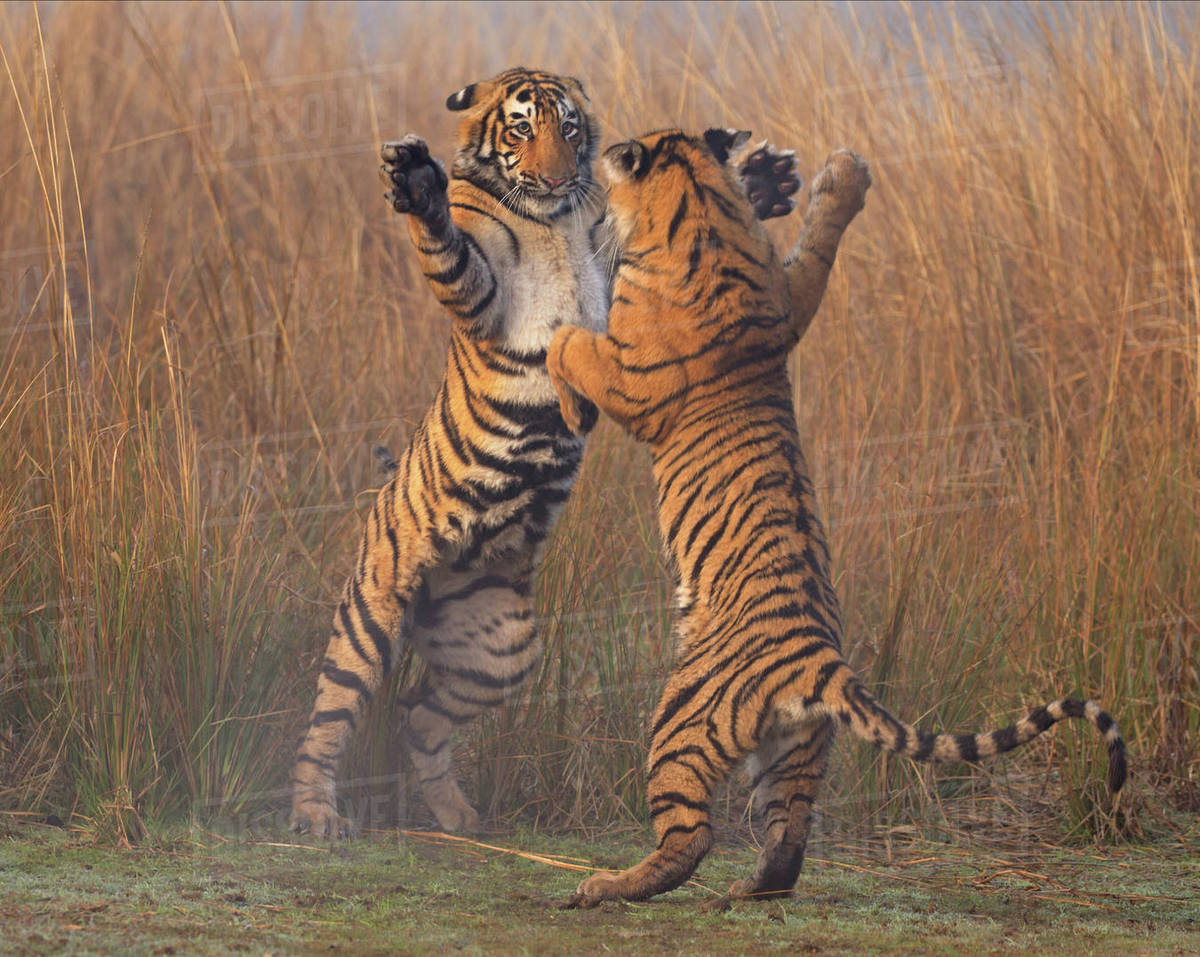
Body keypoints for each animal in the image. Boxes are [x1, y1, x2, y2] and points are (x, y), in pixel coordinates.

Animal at [289, 68, 805, 839]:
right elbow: (447, 249)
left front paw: (765, 179)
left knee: (416, 717)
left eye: (568, 127)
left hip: (499, 648)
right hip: (372, 611)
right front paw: (416, 180)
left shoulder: (611, 279)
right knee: (326, 719)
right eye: (520, 127)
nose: (560, 177)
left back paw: (459, 817)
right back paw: (314, 813)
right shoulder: (485, 299)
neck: (552, 220)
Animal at [545, 129, 1127, 905]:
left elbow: (569, 345)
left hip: (681, 720)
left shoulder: (631, 376)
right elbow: (818, 248)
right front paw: (839, 177)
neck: (701, 209)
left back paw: (604, 886)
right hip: (792, 751)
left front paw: (566, 380)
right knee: (788, 841)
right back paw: (747, 890)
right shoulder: (790, 298)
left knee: (689, 837)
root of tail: (819, 659)